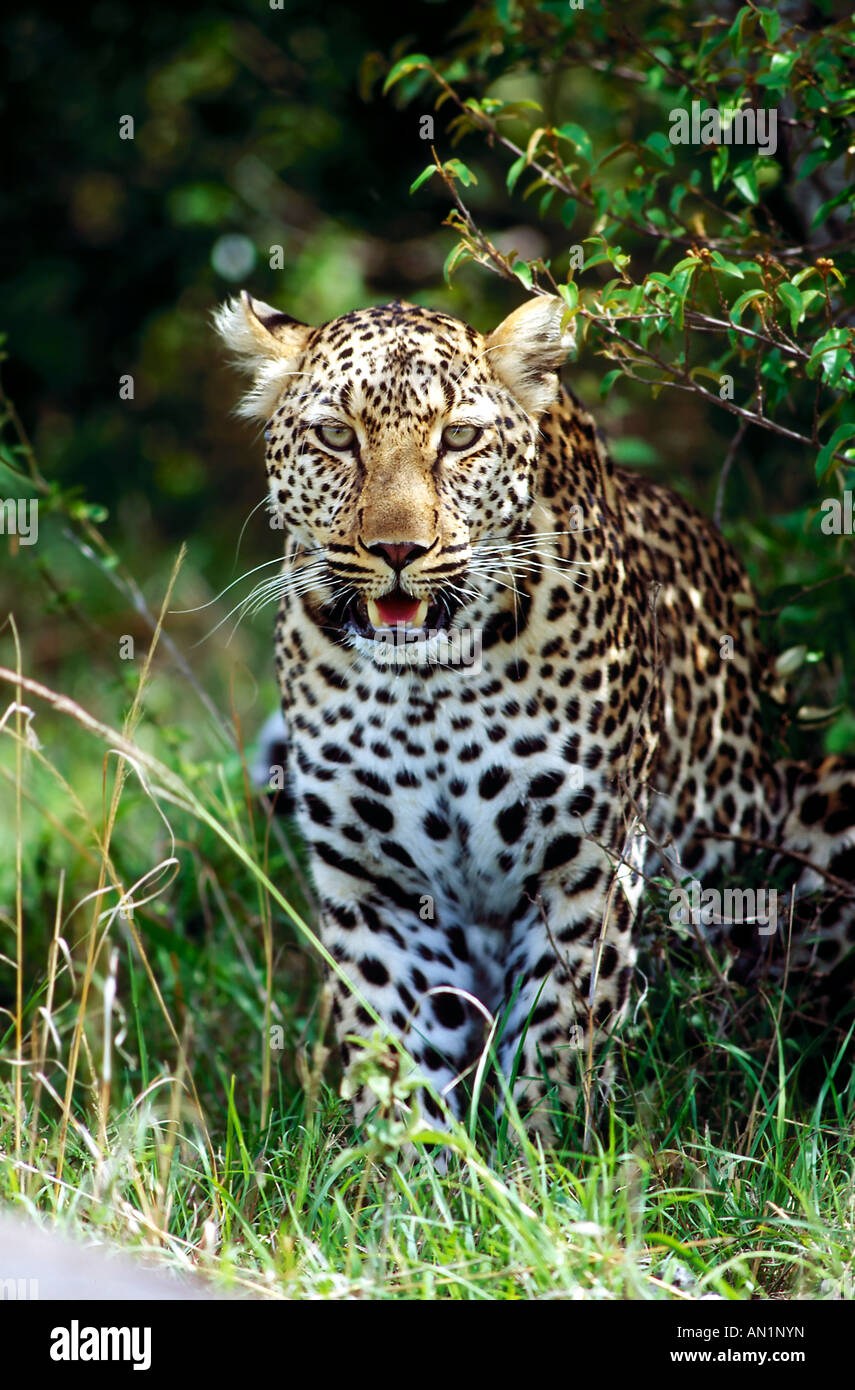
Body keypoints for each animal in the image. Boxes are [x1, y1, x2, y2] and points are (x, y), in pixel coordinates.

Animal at [215, 290, 855, 1138]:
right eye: (335, 437)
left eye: (458, 438)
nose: (397, 550)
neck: (427, 687)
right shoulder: (373, 881)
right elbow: (394, 1048)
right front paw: (407, 1166)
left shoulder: (584, 858)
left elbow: (561, 1029)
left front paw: (550, 1154)